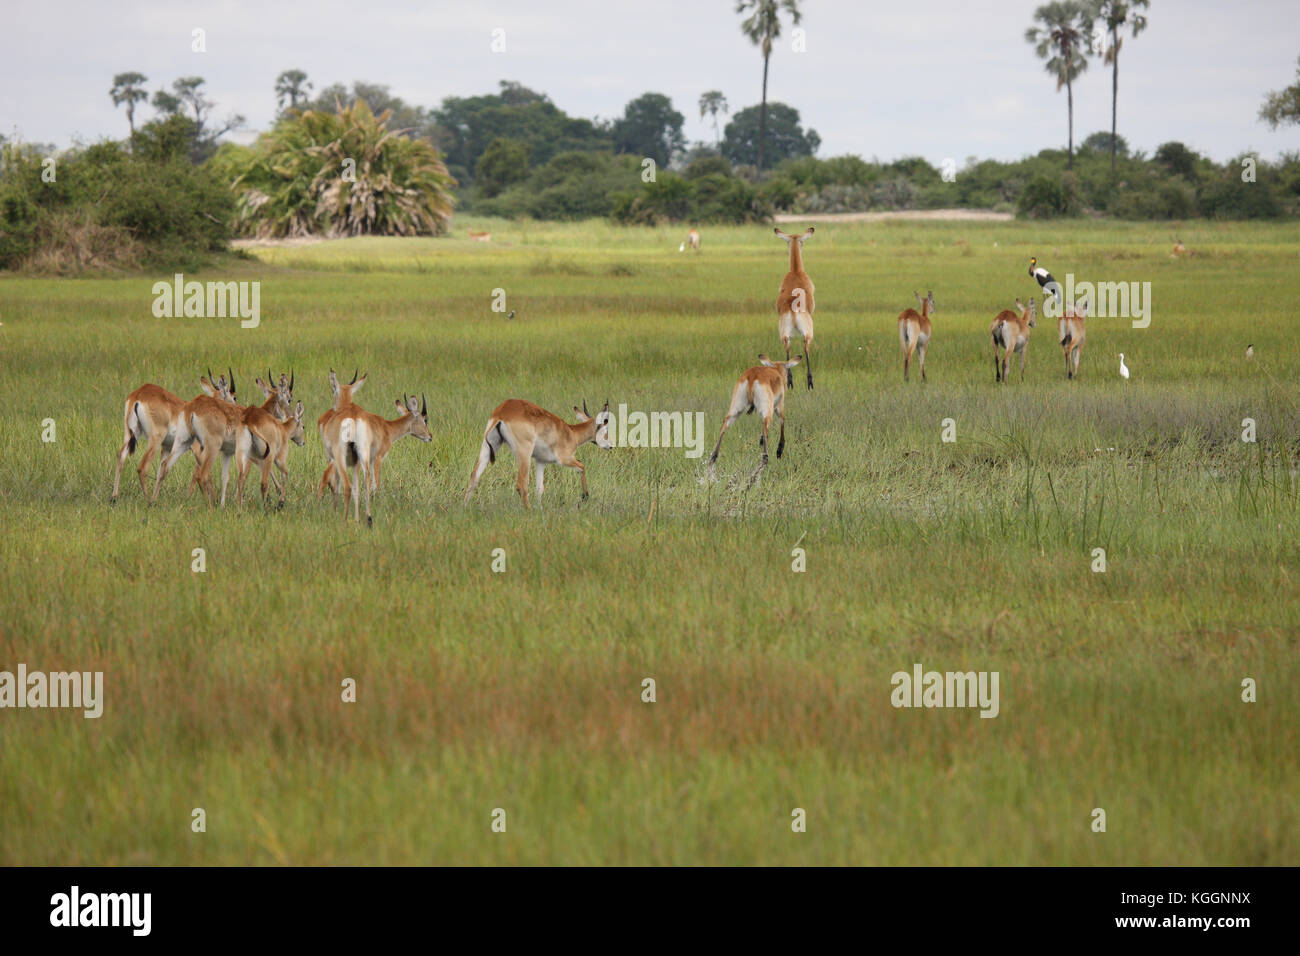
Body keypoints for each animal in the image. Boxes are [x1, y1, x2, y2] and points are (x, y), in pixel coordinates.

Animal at [464, 399, 612, 509]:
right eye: (605, 430)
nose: (610, 445)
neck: (571, 433)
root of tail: (502, 412)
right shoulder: (565, 459)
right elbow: (582, 466)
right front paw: (585, 496)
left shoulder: (541, 462)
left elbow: (540, 488)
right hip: (524, 453)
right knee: (521, 485)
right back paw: (529, 510)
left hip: (488, 447)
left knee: (474, 476)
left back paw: (465, 507)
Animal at [707, 355, 800, 485]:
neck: (776, 370)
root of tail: (752, 376)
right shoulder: (779, 406)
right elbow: (782, 422)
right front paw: (779, 450)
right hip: (767, 413)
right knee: (765, 456)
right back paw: (750, 482)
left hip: (736, 410)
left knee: (716, 447)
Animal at [774, 227, 815, 390]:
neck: (796, 272)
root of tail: (793, 310)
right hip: (808, 334)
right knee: (806, 349)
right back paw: (810, 382)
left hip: (784, 335)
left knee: (788, 351)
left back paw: (790, 382)